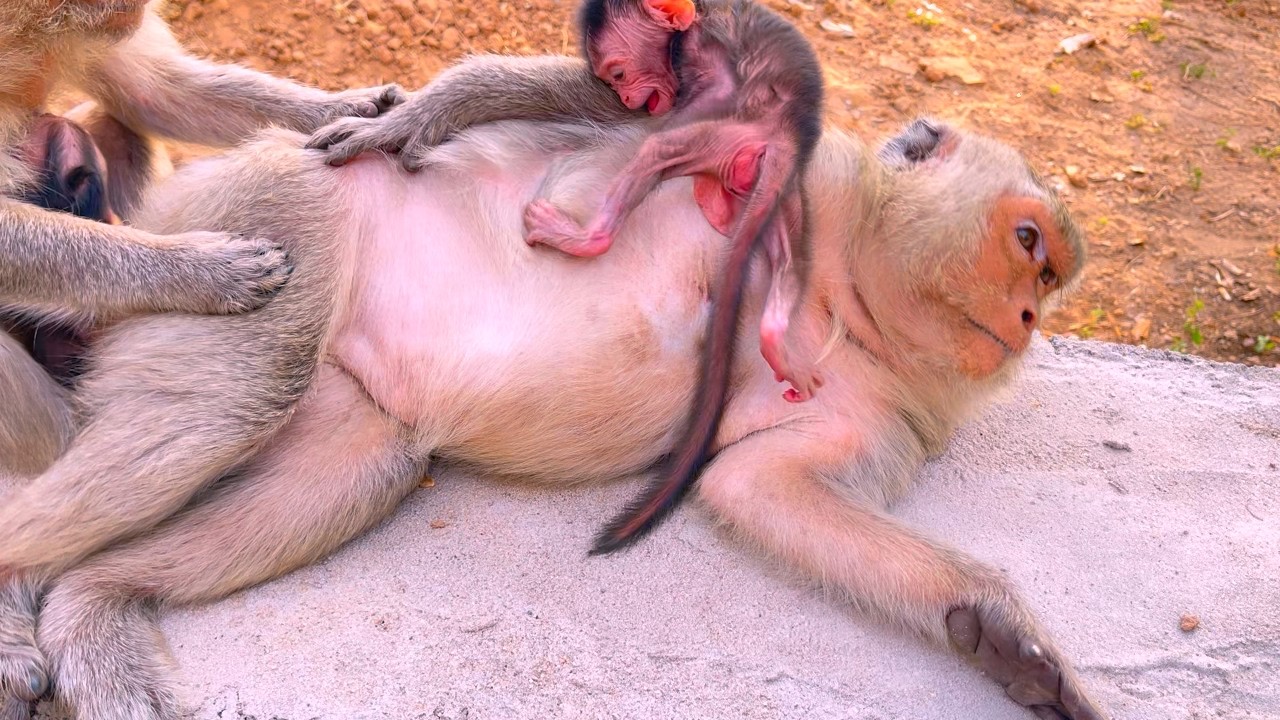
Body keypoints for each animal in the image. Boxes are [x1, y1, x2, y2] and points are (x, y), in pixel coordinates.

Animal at [0, 111, 1103, 719]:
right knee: (246, 383)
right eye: (1026, 243)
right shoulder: (803, 169)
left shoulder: (879, 410)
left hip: (337, 375)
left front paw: (1002, 636)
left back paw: (95, 602)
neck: (844, 294)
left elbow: (760, 487)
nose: (1025, 321)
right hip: (275, 218)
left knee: (360, 461)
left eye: (1053, 277)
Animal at [307, 0, 827, 554]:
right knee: (785, 256)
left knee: (656, 149)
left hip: (723, 138)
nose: (627, 94)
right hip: (780, 198)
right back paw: (776, 336)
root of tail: (788, 139)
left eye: (618, 71)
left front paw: (403, 121)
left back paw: (585, 236)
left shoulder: (691, 80)